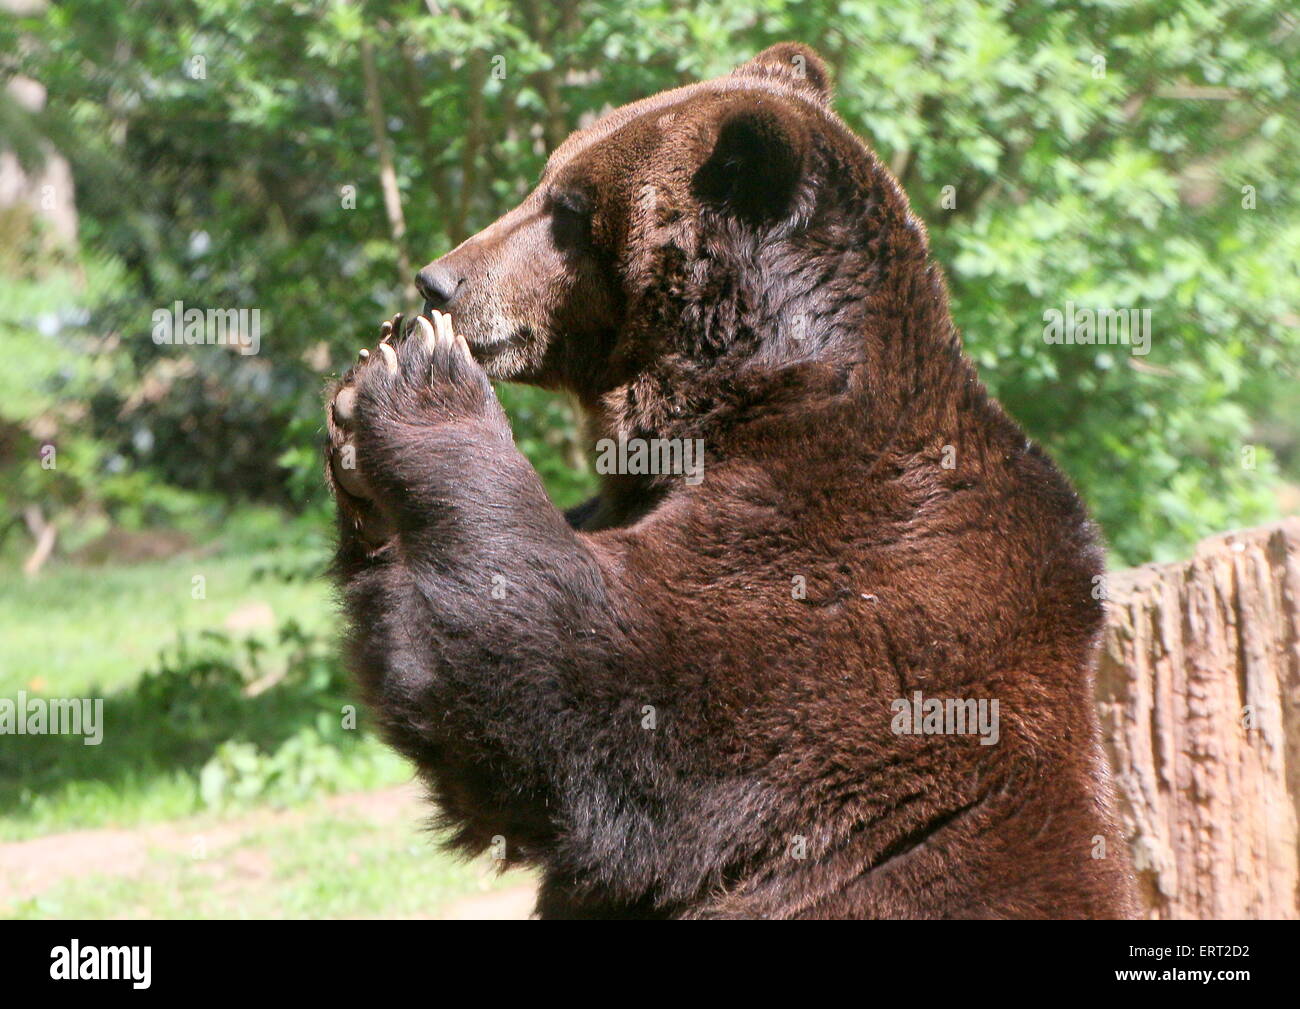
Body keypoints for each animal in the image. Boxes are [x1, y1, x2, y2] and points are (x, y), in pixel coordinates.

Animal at [324, 42, 1139, 920]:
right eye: (545, 181)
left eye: (569, 207)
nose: (437, 282)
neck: (734, 395)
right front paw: (358, 447)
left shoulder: (840, 561)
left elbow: (588, 680)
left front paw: (417, 374)